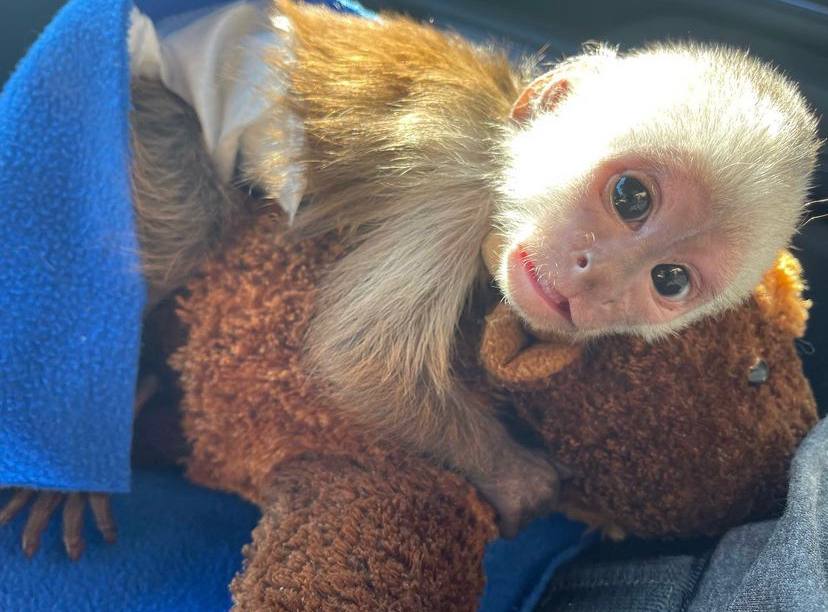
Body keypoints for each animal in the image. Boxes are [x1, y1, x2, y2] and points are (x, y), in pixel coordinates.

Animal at [1, 0, 820, 556]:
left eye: (669, 280)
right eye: (630, 197)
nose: (594, 281)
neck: (501, 131)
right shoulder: (455, 188)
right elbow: (359, 356)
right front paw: (517, 478)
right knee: (182, 226)